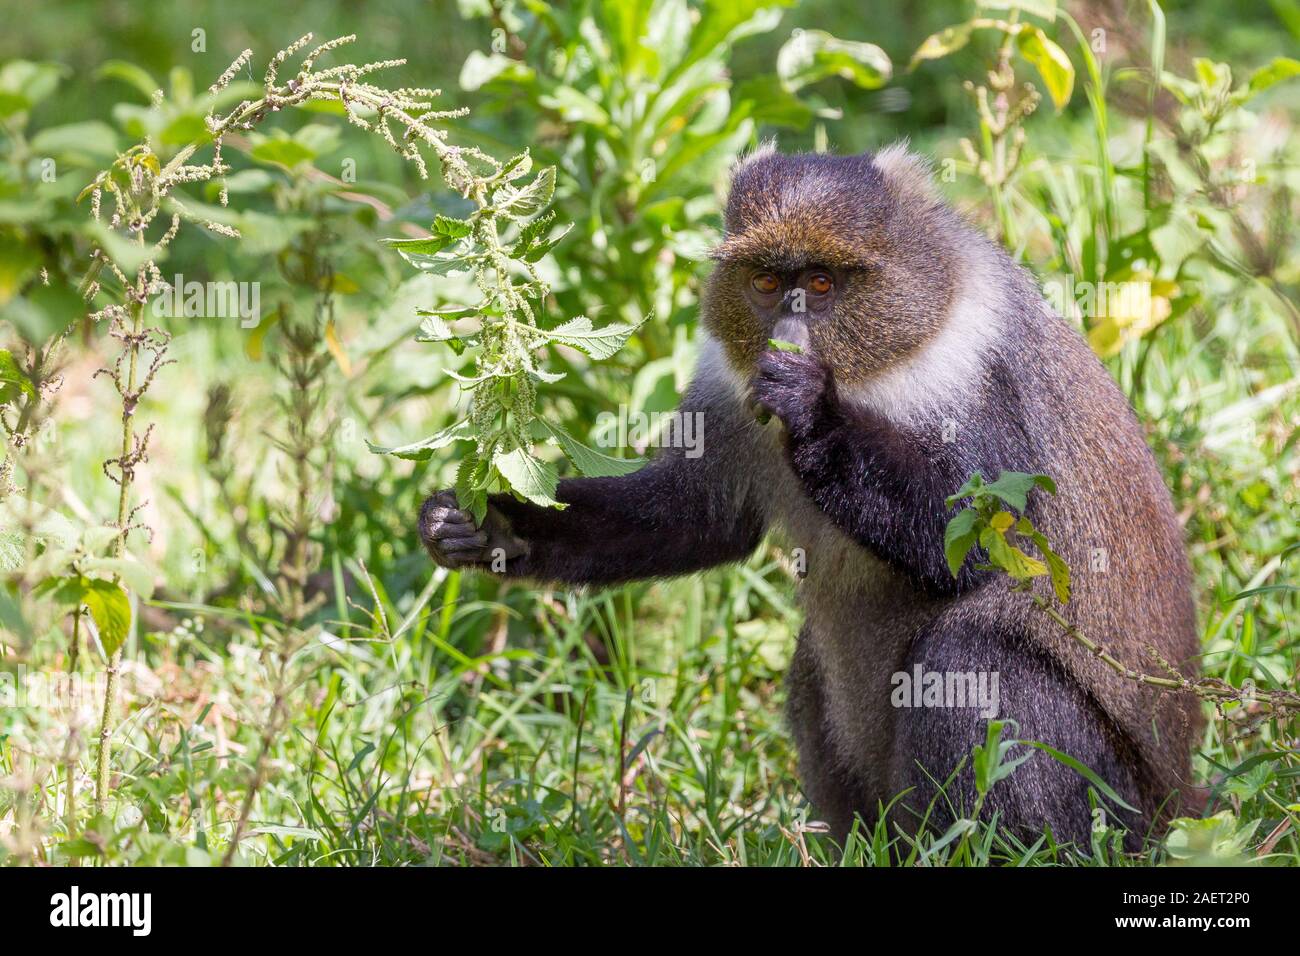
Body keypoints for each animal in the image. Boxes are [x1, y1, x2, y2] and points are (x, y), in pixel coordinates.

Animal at [420, 143, 1203, 851]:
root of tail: (1180, 806)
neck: (888, 357)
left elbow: (982, 541)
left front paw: (811, 412)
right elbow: (693, 517)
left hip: (1111, 802)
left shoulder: (982, 380)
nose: (788, 339)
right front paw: (488, 528)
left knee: (973, 657)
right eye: (768, 283)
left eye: (822, 285)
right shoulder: (726, 385)